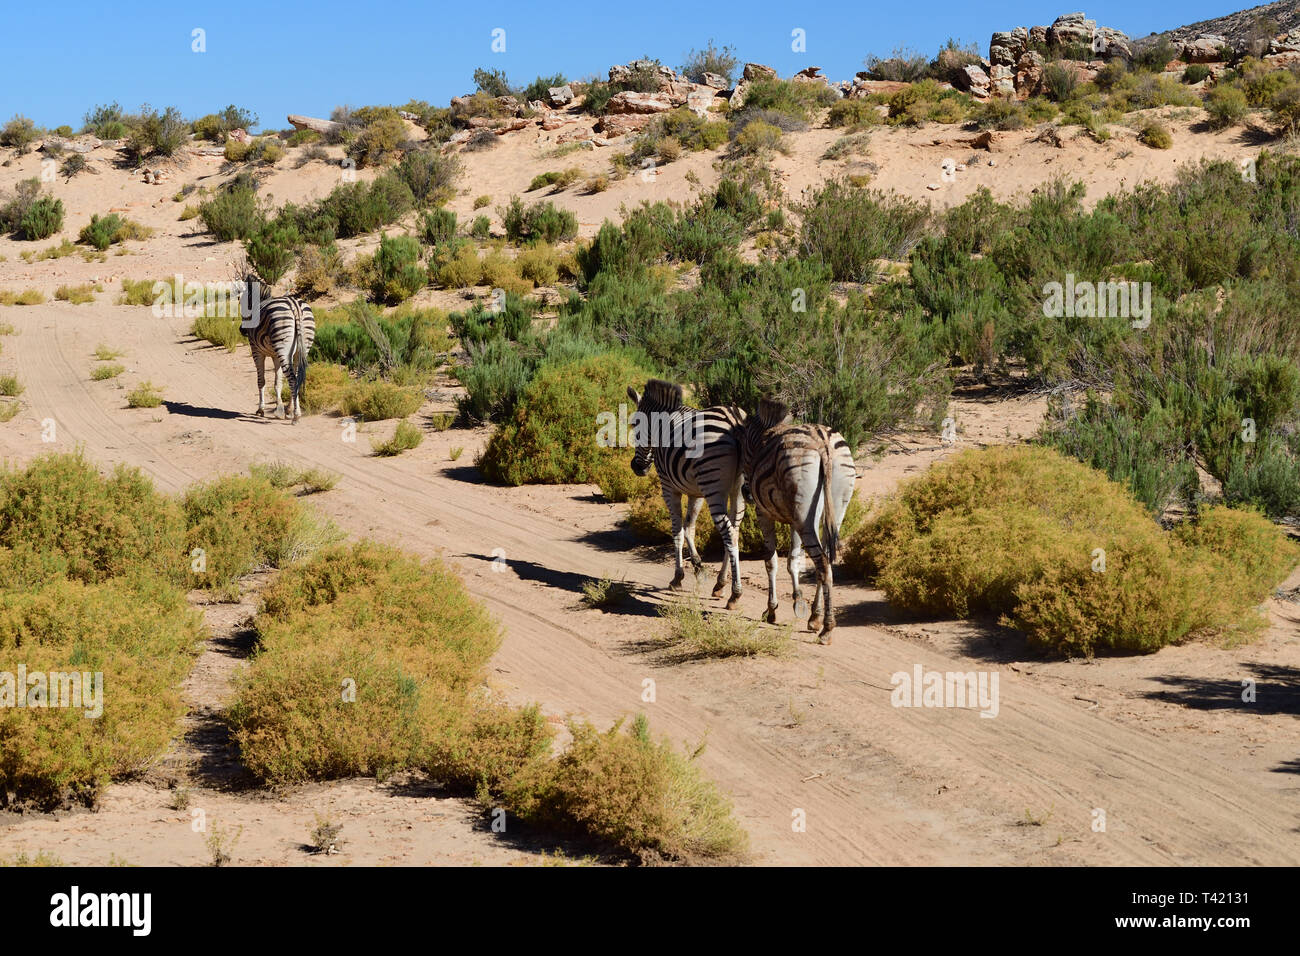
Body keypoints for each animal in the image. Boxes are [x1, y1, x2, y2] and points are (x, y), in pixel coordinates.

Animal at [243, 281, 315, 423]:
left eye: (241, 301)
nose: (242, 330)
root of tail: (295, 305)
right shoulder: (276, 356)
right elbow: (278, 383)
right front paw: (279, 409)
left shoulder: (256, 351)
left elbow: (261, 381)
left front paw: (261, 409)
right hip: (299, 349)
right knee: (296, 378)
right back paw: (289, 410)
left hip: (281, 343)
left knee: (292, 379)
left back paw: (296, 415)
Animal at [626, 379, 747, 608]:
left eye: (634, 425)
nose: (637, 468)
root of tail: (733, 418)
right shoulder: (696, 492)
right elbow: (689, 526)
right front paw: (699, 566)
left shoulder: (668, 487)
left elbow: (677, 530)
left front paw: (678, 577)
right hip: (738, 490)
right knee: (735, 531)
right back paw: (720, 584)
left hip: (713, 487)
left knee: (728, 532)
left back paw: (735, 594)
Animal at [741, 398, 857, 643]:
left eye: (744, 447)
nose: (746, 492)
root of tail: (823, 442)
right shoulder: (795, 518)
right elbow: (793, 559)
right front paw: (798, 602)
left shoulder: (763, 514)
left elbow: (771, 561)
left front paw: (771, 611)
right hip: (831, 507)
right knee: (826, 560)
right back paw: (816, 617)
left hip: (805, 515)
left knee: (822, 563)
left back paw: (827, 628)